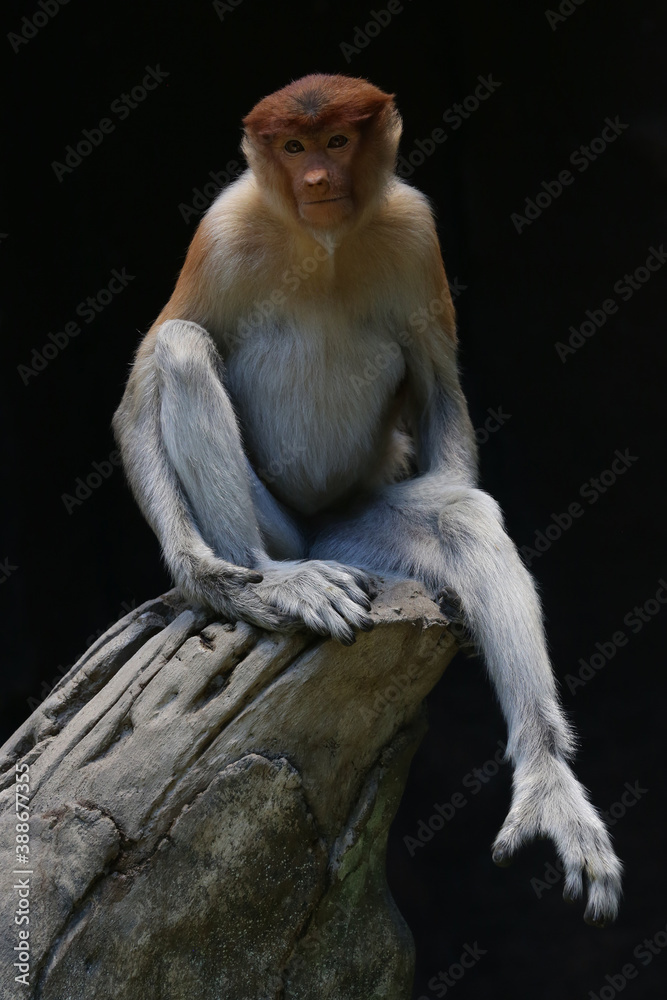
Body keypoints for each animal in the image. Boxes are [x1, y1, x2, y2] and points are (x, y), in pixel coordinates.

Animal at [112, 73, 622, 926]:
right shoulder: (221, 229)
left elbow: (439, 387)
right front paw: (206, 579)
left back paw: (546, 778)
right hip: (287, 527)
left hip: (352, 525)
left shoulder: (414, 230)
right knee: (184, 351)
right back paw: (272, 581)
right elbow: (147, 378)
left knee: (462, 516)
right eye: (292, 147)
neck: (322, 246)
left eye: (336, 141)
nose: (317, 179)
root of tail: (314, 533)